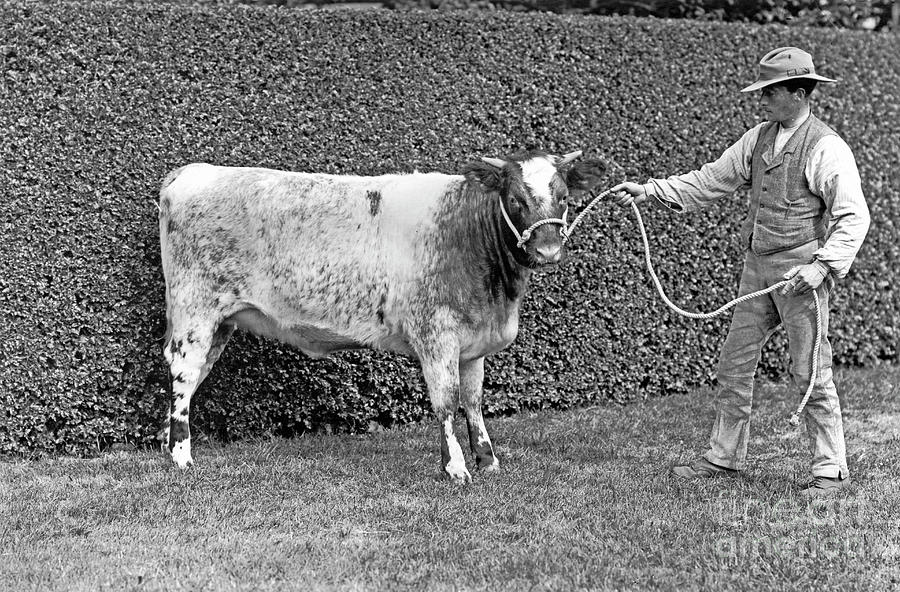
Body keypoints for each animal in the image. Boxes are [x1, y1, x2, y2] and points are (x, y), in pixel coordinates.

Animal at [158, 150, 607, 482]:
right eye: (515, 199)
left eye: (563, 197)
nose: (548, 249)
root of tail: (192, 172)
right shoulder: (437, 336)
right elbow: (447, 401)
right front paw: (456, 467)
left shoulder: (473, 344)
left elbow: (474, 402)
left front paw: (488, 460)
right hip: (194, 310)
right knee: (184, 372)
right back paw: (181, 456)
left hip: (220, 321)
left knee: (191, 377)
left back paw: (167, 443)